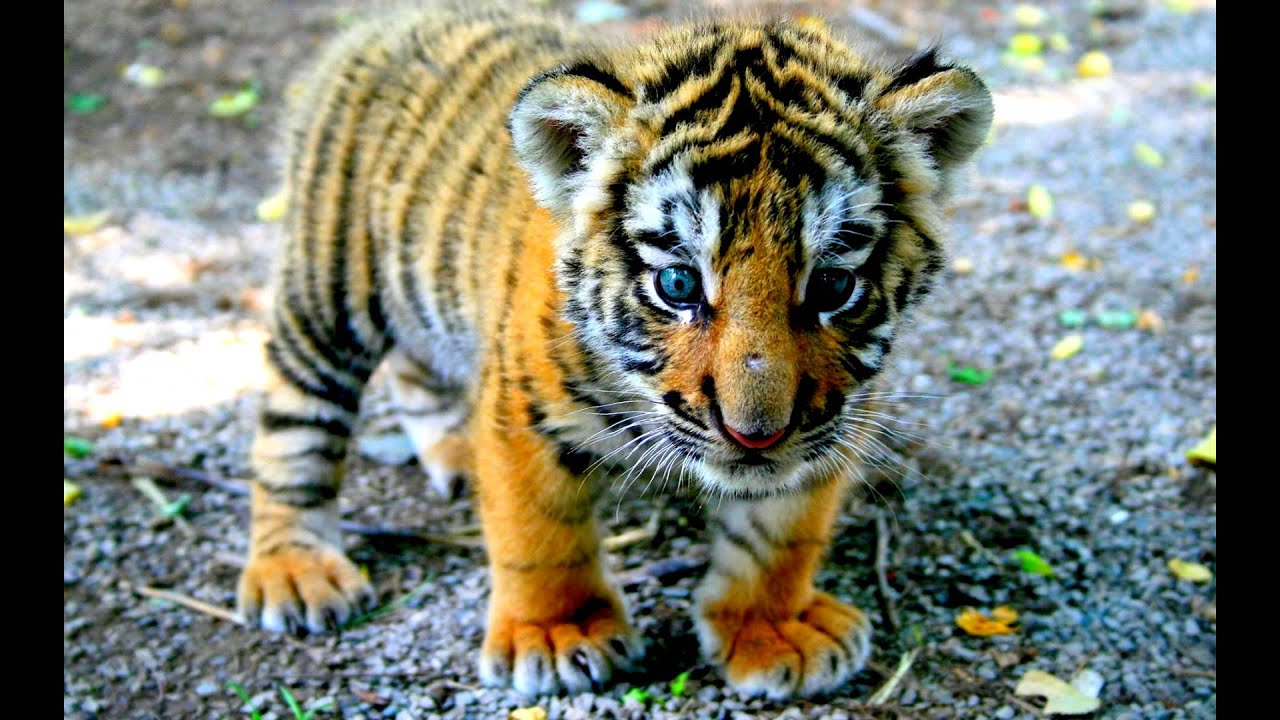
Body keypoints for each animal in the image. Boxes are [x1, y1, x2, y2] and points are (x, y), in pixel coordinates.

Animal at [235, 3, 992, 700]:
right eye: (678, 284)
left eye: (833, 285)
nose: (755, 435)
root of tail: (390, 21)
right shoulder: (524, 409)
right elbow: (540, 533)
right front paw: (556, 633)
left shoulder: (833, 418)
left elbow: (780, 533)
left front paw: (772, 628)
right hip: (328, 292)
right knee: (293, 425)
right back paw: (295, 570)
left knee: (417, 371)